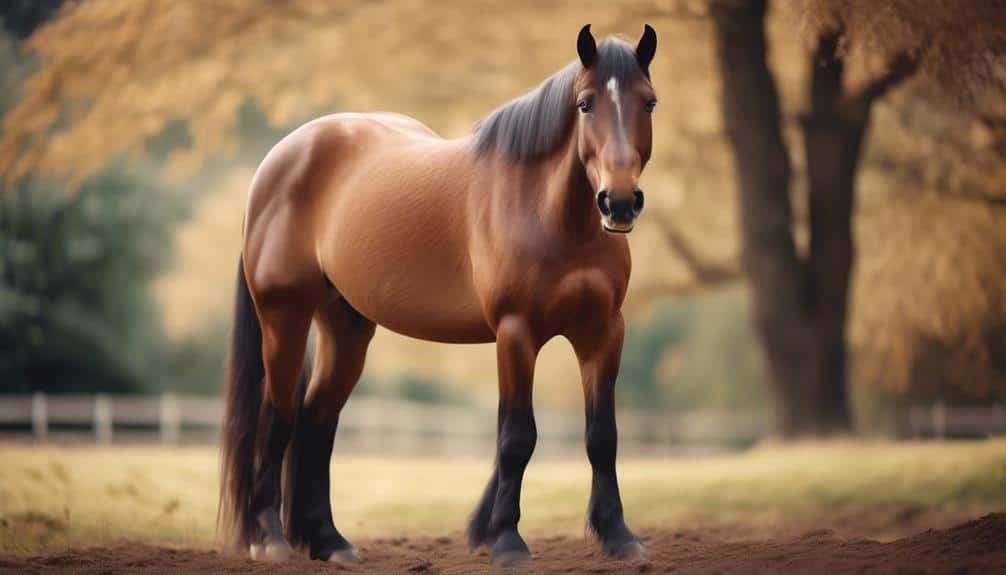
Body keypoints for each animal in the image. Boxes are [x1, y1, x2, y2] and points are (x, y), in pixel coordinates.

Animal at [219, 24, 658, 567]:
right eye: (584, 104)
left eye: (649, 102)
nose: (619, 202)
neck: (549, 212)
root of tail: (277, 161)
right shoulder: (516, 333)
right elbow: (517, 437)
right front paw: (507, 542)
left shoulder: (603, 331)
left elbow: (603, 436)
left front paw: (618, 536)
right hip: (284, 317)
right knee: (277, 415)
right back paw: (269, 538)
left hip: (347, 325)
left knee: (316, 419)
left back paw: (329, 542)